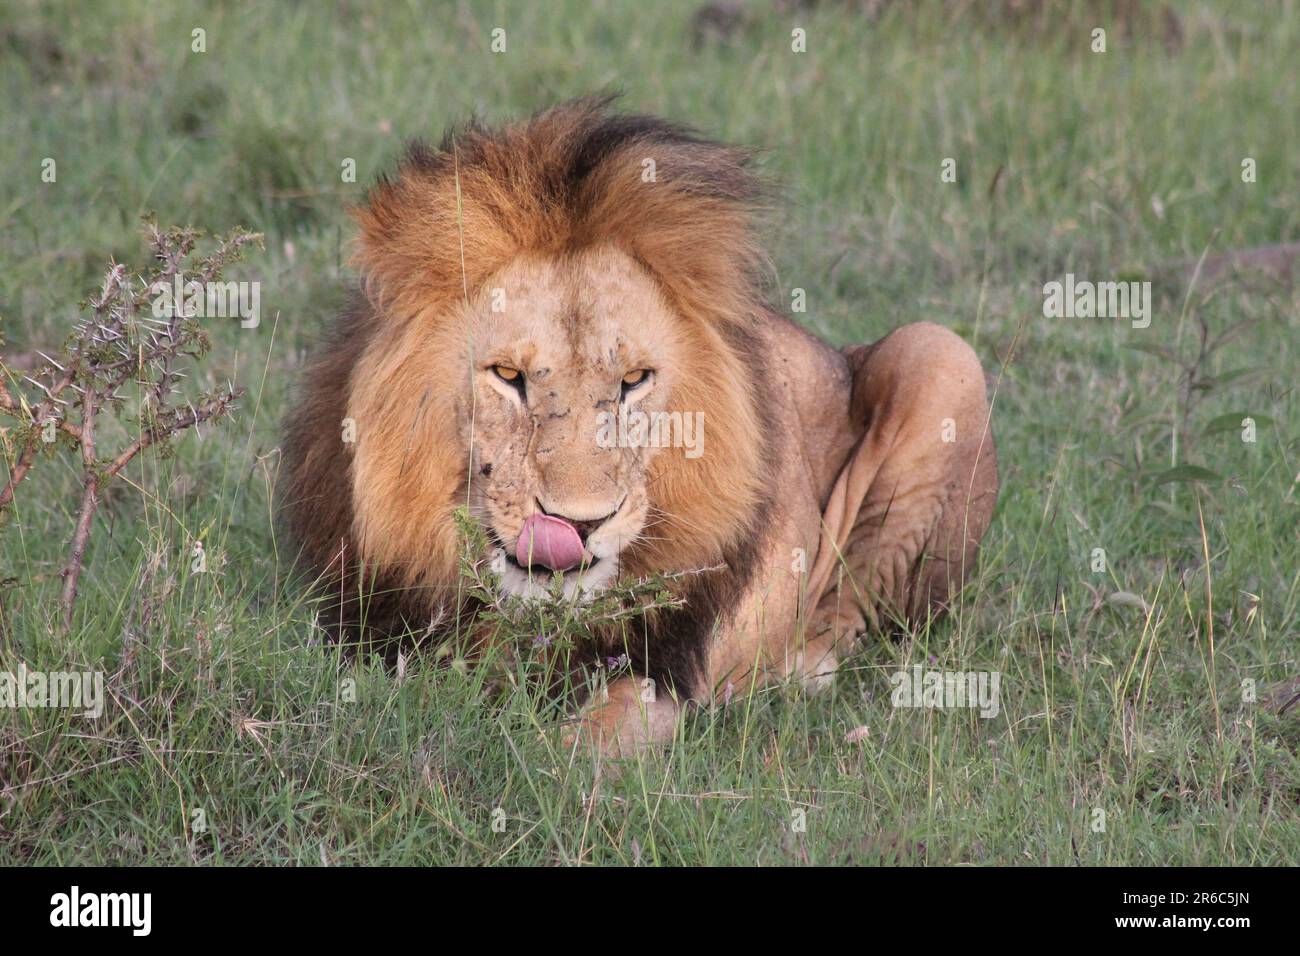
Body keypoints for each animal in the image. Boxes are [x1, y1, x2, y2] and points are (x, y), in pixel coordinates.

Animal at [280, 97, 998, 755]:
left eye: (633, 382)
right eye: (508, 375)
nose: (578, 526)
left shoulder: (665, 668)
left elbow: (604, 732)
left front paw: (554, 764)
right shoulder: (365, 631)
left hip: (941, 356)